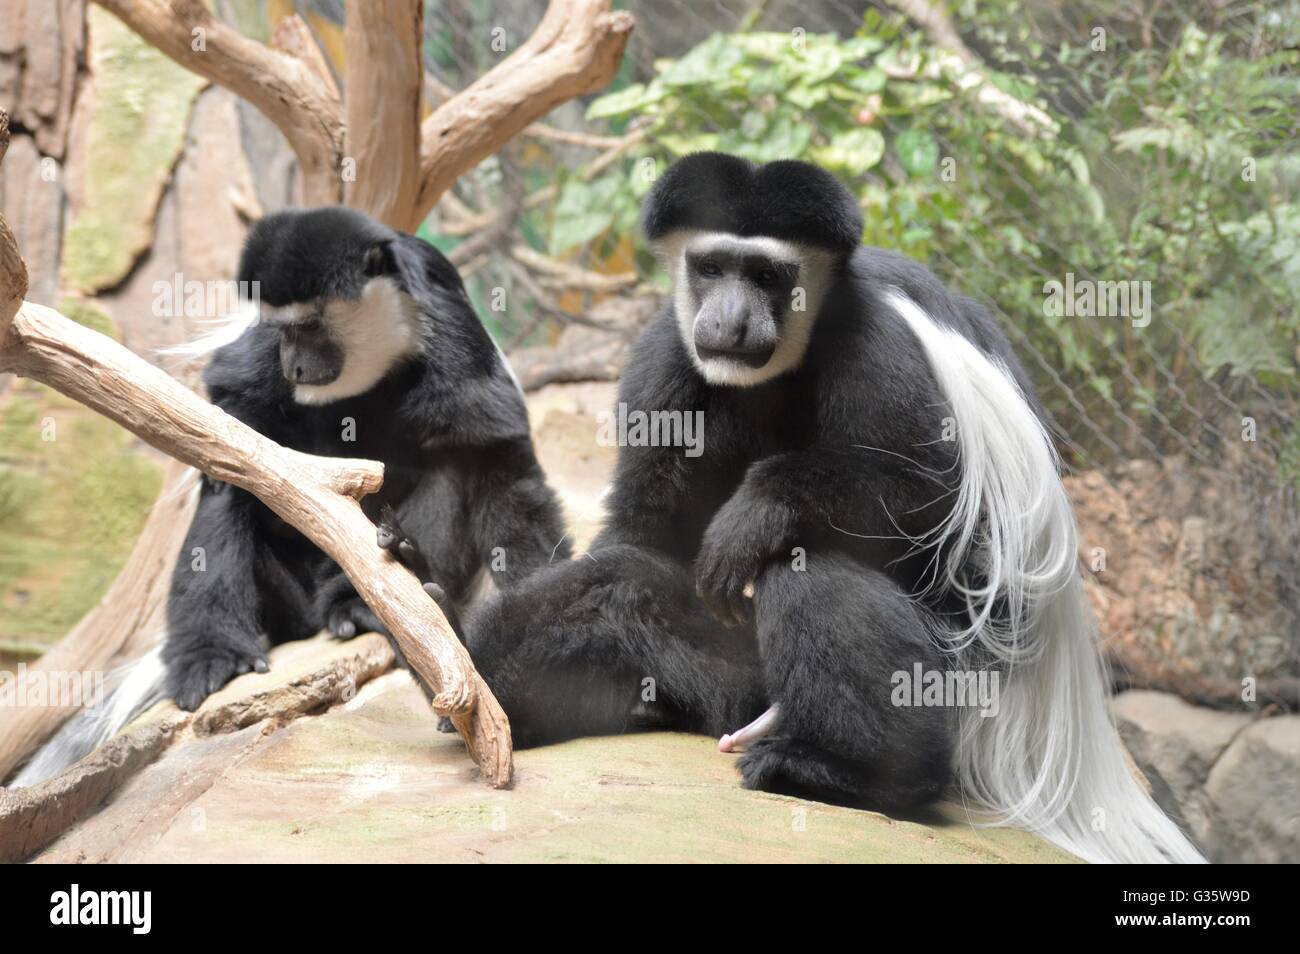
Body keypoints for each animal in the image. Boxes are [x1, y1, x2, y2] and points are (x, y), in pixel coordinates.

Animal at [12, 207, 569, 785]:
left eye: (309, 326)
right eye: (279, 329)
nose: (294, 366)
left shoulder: (449, 332)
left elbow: (494, 461)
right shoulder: (257, 355)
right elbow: (232, 427)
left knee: (447, 476)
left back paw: (374, 597)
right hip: (278, 592)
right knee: (230, 493)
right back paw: (215, 654)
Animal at [444, 153, 1204, 863]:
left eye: (767, 276)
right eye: (711, 267)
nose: (729, 320)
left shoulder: (879, 347)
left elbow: (938, 501)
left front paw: (759, 511)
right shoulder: (669, 354)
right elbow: (645, 533)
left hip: (969, 689)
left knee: (814, 577)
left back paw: (841, 772)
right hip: (744, 674)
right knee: (624, 586)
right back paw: (503, 696)